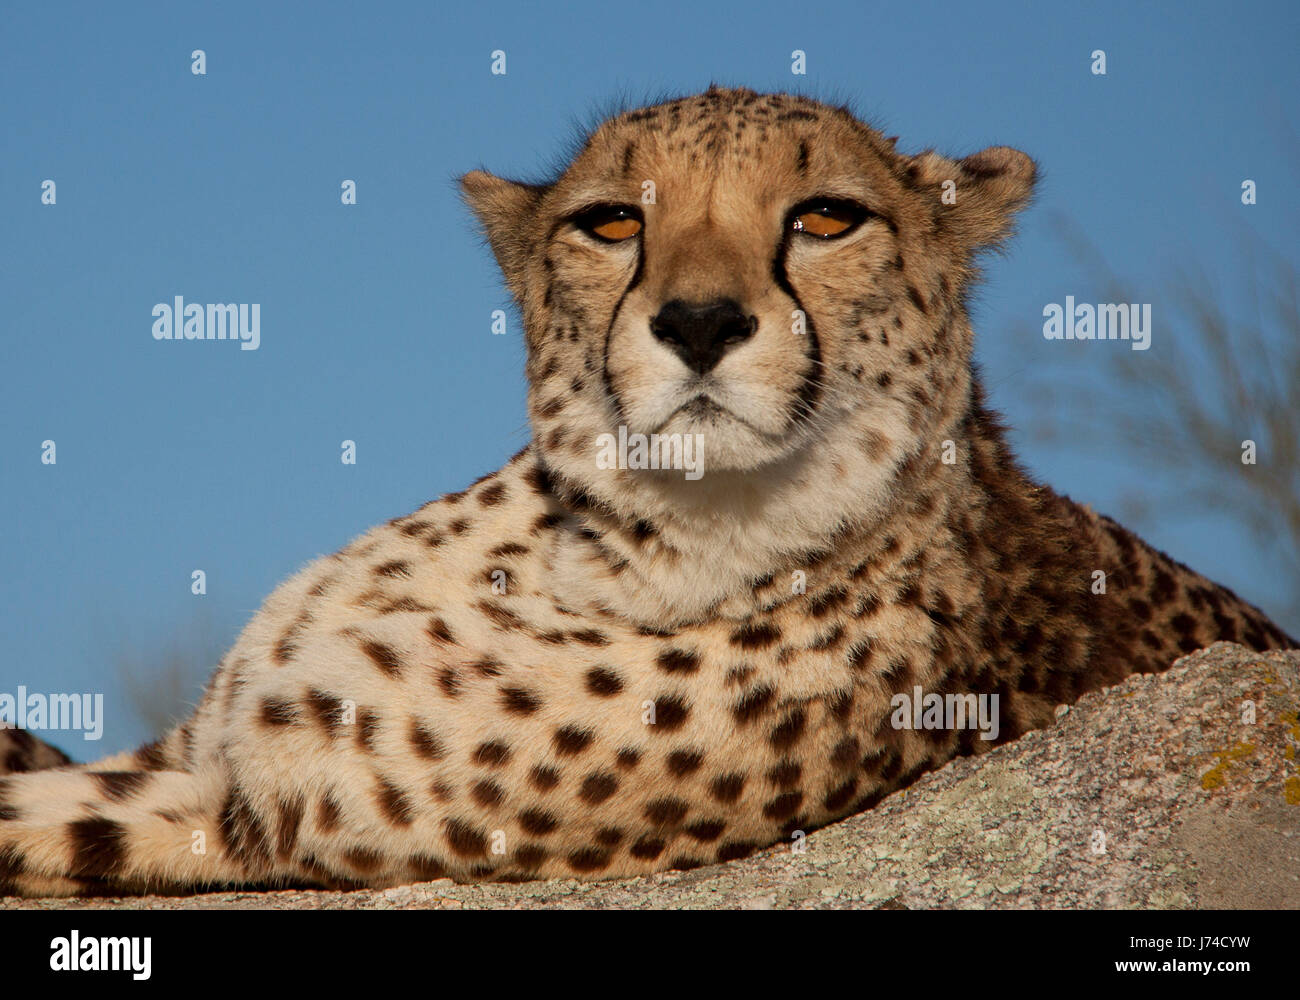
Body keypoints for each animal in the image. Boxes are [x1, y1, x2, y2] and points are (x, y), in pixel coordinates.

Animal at [1, 86, 1293, 897]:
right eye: (612, 221)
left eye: (827, 216)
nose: (701, 320)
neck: (605, 544)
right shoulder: (202, 754)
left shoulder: (257, 804)